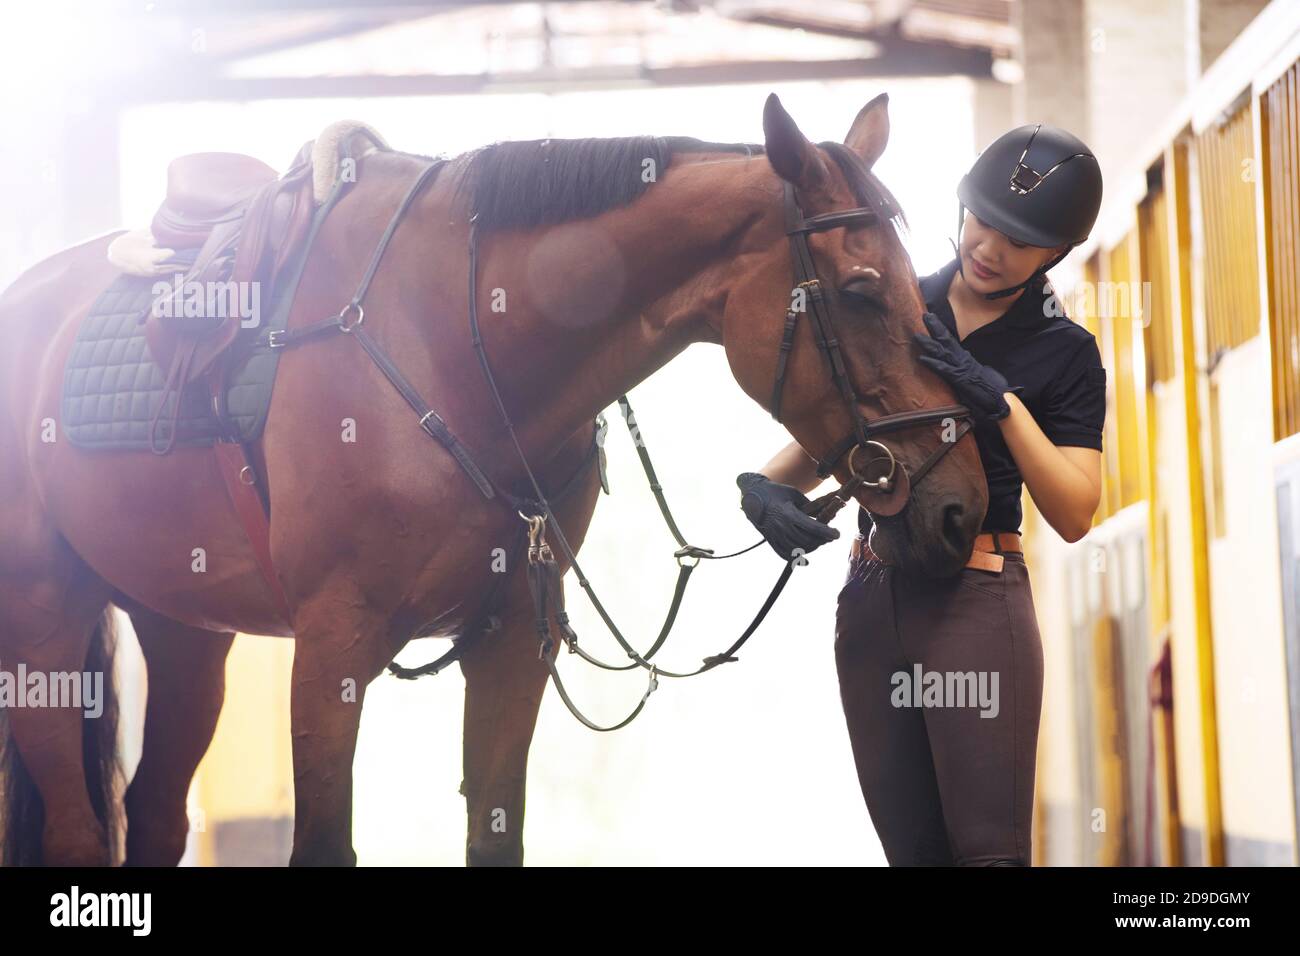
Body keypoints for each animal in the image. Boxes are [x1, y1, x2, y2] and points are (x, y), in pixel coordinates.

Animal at [0, 92, 987, 866]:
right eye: (860, 290)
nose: (961, 505)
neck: (456, 349)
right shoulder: (333, 648)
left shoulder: (513, 639)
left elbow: (495, 835)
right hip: (43, 625)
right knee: (77, 832)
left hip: (184, 633)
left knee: (152, 815)